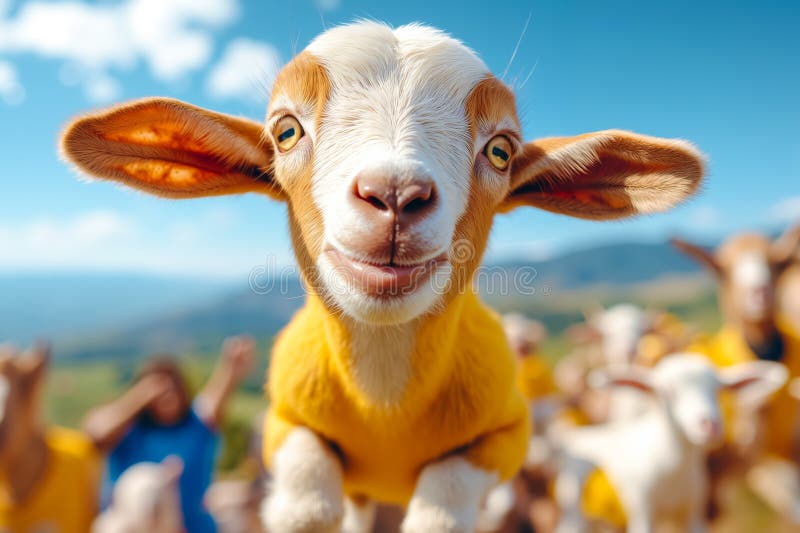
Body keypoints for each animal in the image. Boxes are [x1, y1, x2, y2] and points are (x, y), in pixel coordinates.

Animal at [60, 21, 705, 532]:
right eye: (285, 131)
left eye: (500, 150)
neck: (386, 404)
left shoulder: (510, 434)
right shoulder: (282, 419)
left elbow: (445, 505)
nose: (394, 194)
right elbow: (308, 501)